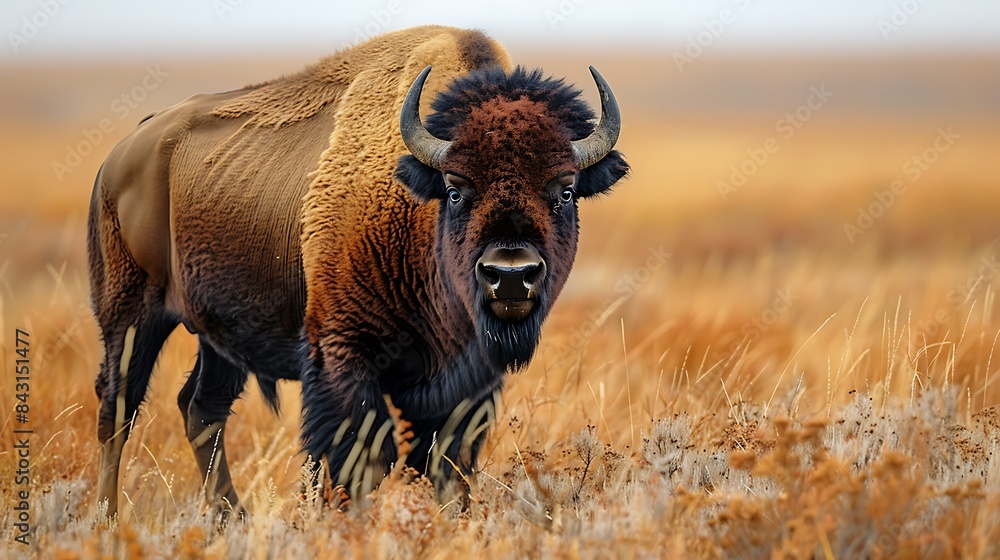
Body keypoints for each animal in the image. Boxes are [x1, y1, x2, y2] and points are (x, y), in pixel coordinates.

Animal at [88, 25, 628, 517]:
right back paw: (108, 519)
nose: (511, 274)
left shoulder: (466, 382)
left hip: (218, 335)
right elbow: (362, 457)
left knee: (201, 408)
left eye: (565, 190)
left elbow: (447, 464)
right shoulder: (342, 353)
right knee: (118, 409)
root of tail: (126, 151)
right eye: (455, 189)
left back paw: (231, 519)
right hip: (129, 315)